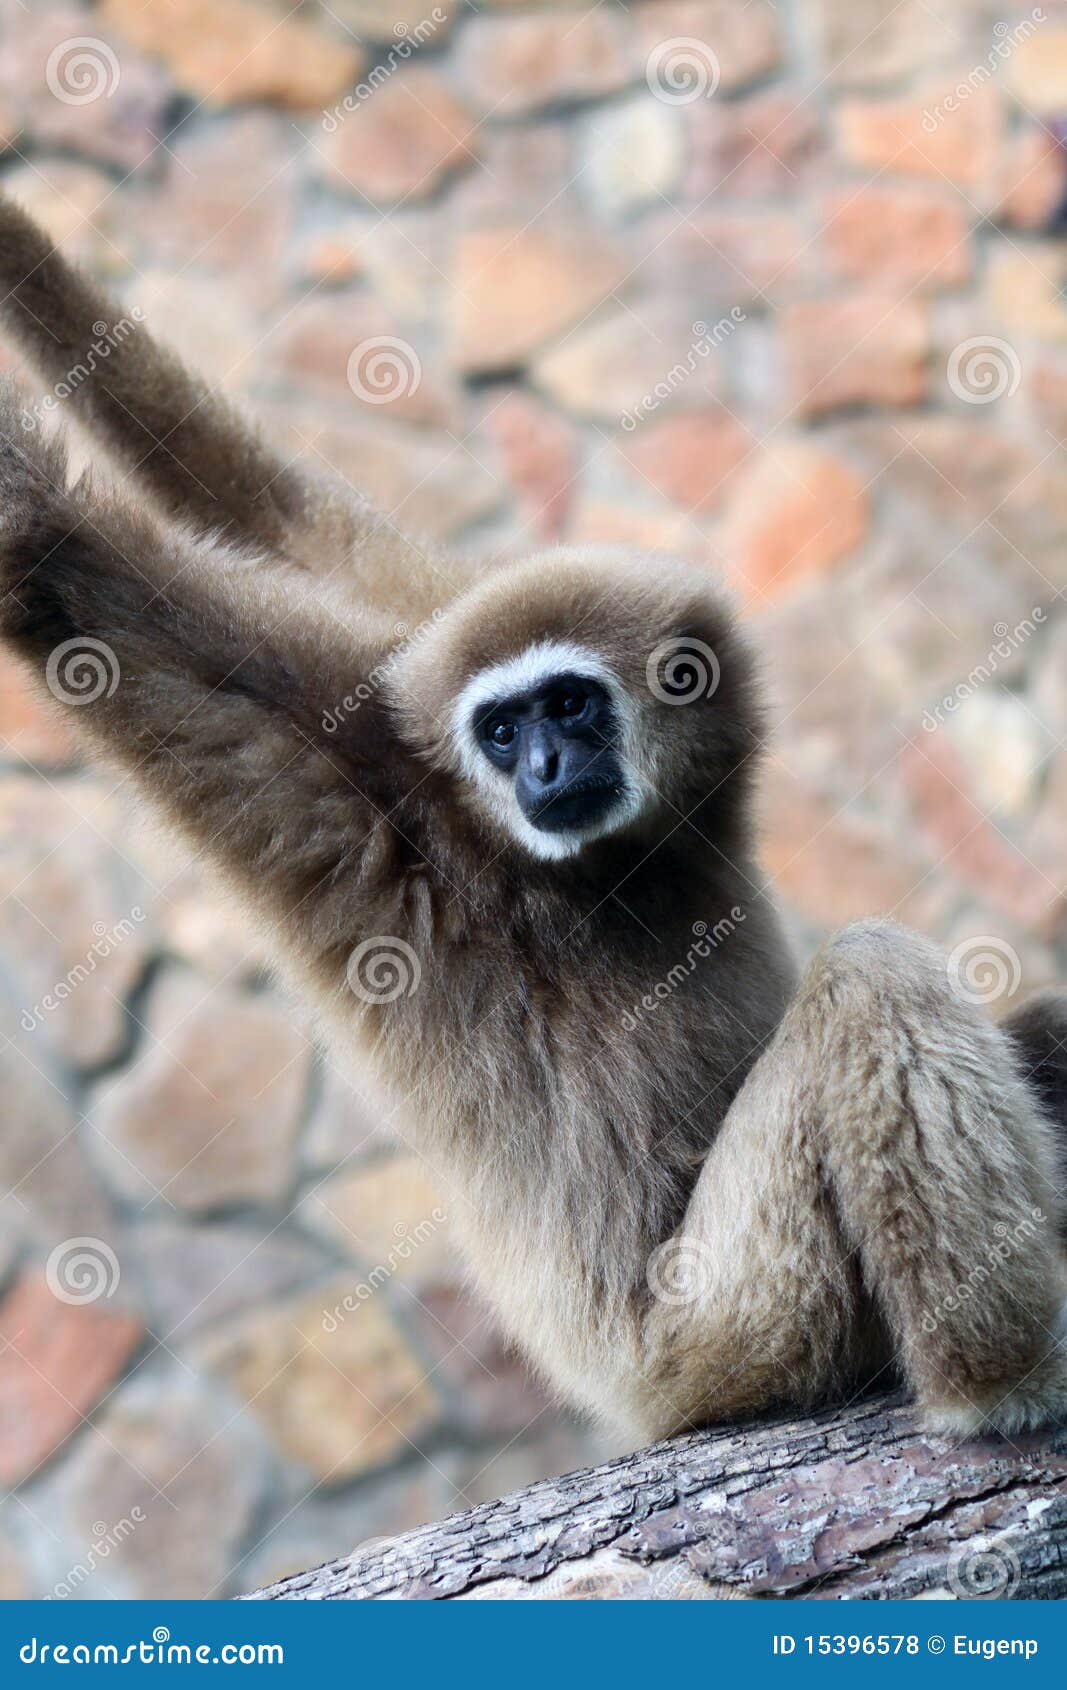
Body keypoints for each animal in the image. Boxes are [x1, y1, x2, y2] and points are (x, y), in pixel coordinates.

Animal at [0, 191, 1066, 1448]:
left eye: (565, 705)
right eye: (502, 731)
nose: (546, 763)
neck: (602, 871)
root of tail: (624, 1393)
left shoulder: (412, 686)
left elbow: (279, 514)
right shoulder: (397, 807)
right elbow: (74, 577)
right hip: (727, 1321)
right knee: (868, 977)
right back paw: (996, 1389)